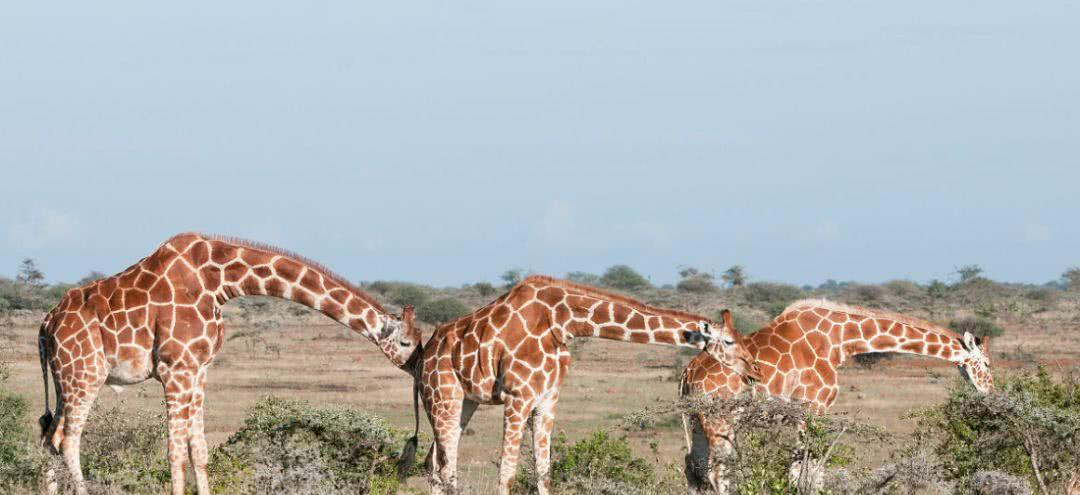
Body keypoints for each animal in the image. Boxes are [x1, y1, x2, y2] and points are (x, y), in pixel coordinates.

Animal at [37, 232, 422, 495]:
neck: (221, 282)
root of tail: (47, 323)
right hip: (85, 374)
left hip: (64, 377)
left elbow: (198, 450)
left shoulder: (198, 369)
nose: (417, 366)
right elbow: (175, 450)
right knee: (69, 441)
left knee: (49, 436)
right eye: (406, 342)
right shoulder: (175, 369)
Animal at [411, 275, 761, 495]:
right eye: (729, 341)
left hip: (465, 400)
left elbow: (543, 473)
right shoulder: (517, 396)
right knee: (445, 467)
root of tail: (424, 354)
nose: (754, 369)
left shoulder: (547, 398)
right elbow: (507, 473)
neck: (563, 321)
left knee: (437, 464)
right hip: (442, 395)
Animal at [680, 299, 994, 493]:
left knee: (695, 470)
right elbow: (807, 470)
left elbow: (804, 468)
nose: (991, 391)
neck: (841, 342)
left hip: (697, 421)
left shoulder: (808, 410)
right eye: (988, 364)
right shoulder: (814, 405)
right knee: (717, 472)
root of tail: (687, 376)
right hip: (720, 419)